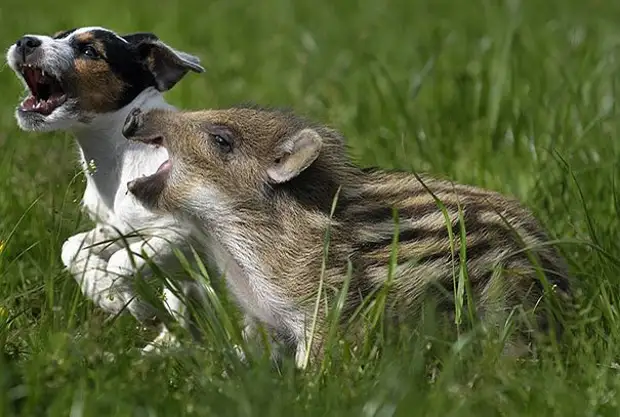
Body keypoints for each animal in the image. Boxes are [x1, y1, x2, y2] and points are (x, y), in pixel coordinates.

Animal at [5, 26, 211, 352]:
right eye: (58, 36)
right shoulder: (116, 230)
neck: (120, 157)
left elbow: (119, 264)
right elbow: (72, 248)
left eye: (90, 51)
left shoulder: (183, 233)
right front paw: (106, 295)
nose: (25, 42)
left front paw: (136, 306)